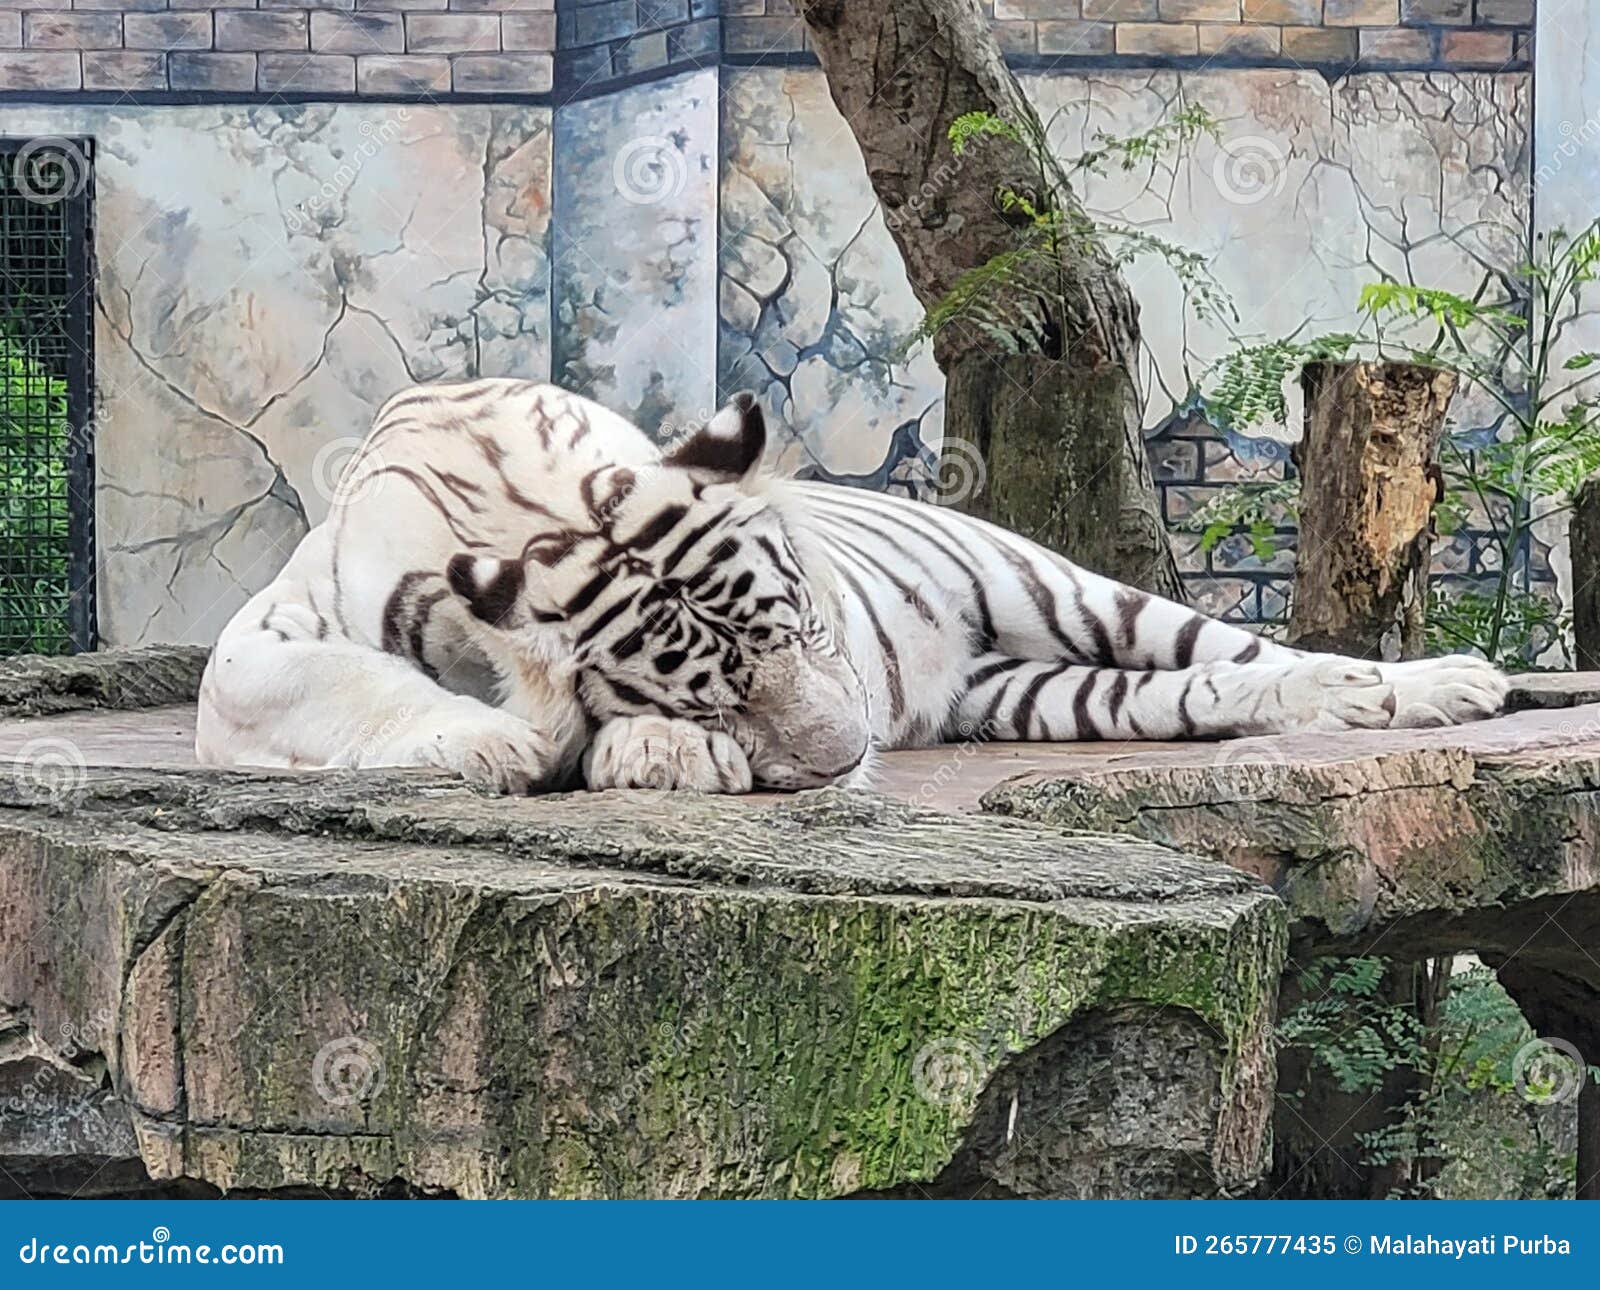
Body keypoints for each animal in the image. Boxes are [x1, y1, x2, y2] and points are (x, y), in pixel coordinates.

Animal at [197, 380, 1510, 794]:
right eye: (709, 695)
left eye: (813, 627)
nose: (851, 752)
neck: (536, 500)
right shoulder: (260, 642)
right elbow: (347, 680)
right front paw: (495, 739)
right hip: (1033, 689)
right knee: (1203, 697)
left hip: (1061, 590)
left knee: (1247, 657)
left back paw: (1436, 686)